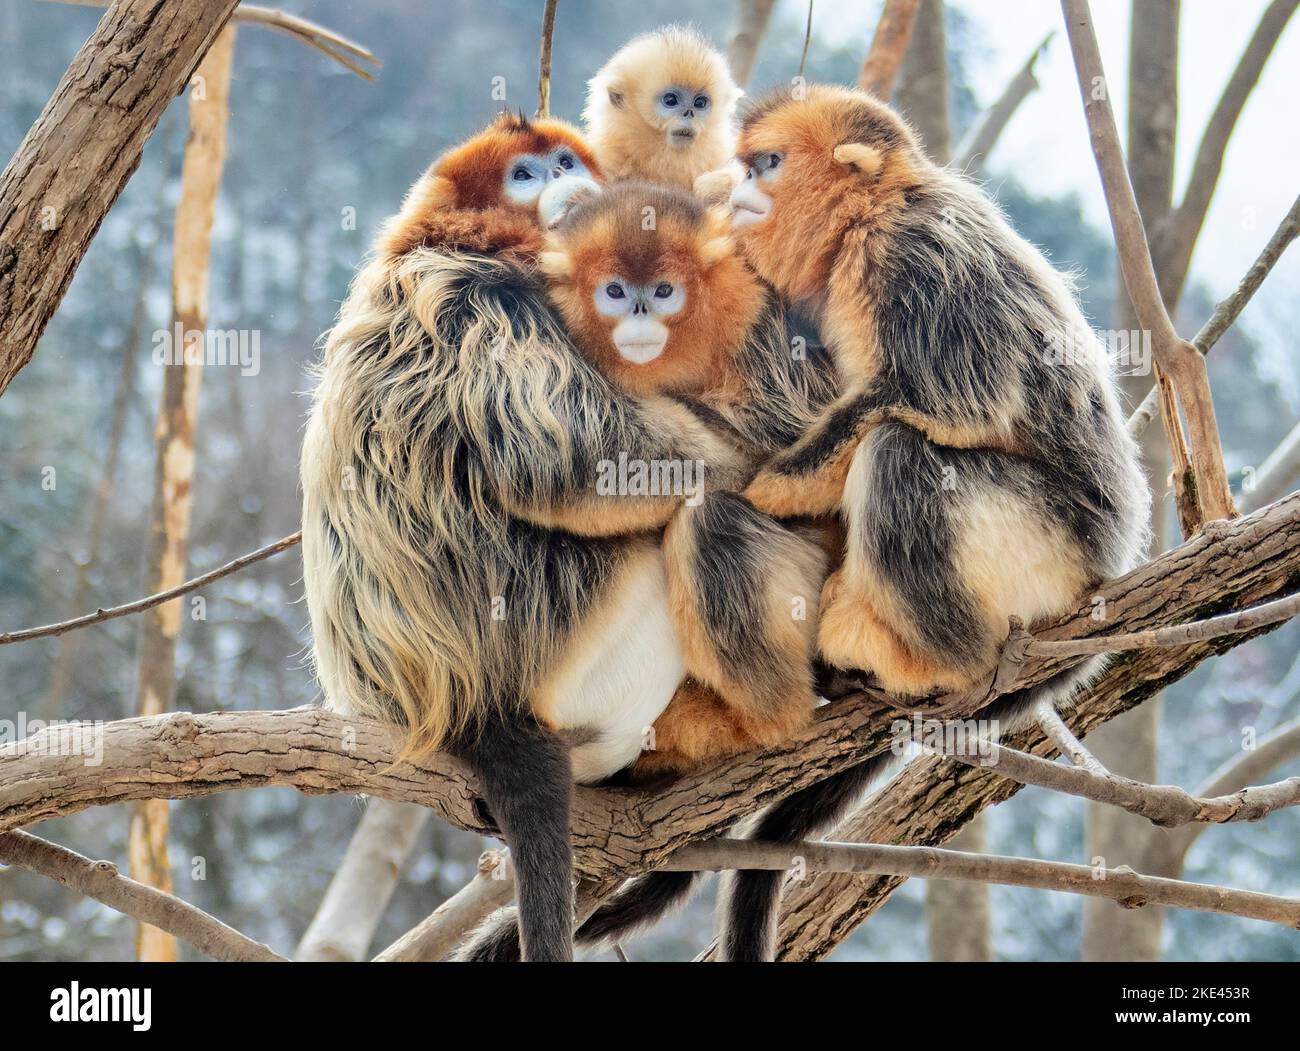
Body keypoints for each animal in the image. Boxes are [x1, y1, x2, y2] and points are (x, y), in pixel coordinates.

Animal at [301, 113, 761, 962]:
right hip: (580, 637)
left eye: (565, 161)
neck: (442, 239)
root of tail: (474, 716)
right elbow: (565, 461)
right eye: (525, 173)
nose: (560, 180)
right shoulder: (483, 295)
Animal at [706, 84, 1150, 960]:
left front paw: (770, 489)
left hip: (1049, 544)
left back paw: (927, 657)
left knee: (901, 453)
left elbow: (947, 394)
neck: (872, 213)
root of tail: (1110, 564)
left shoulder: (913, 256)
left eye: (765, 164)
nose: (739, 195)